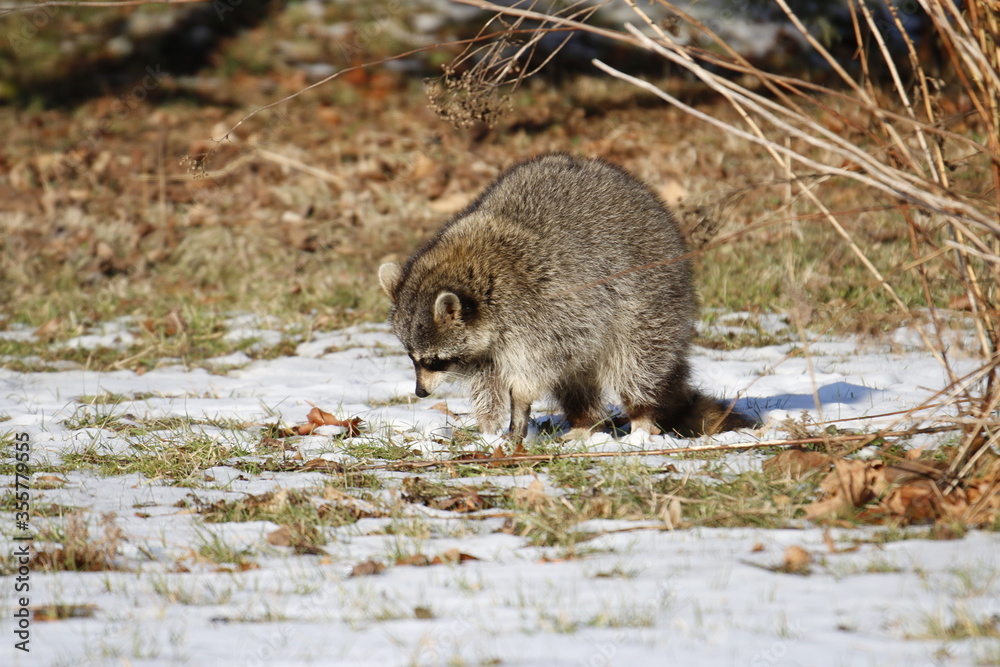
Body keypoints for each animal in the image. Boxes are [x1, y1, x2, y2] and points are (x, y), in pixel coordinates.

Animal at [378, 153, 753, 440]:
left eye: (433, 361)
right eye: (412, 357)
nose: (420, 392)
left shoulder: (548, 311)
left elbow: (537, 369)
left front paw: (519, 405)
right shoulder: (484, 348)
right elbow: (487, 382)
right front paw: (490, 425)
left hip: (651, 296)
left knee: (637, 363)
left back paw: (641, 418)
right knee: (576, 381)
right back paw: (584, 421)